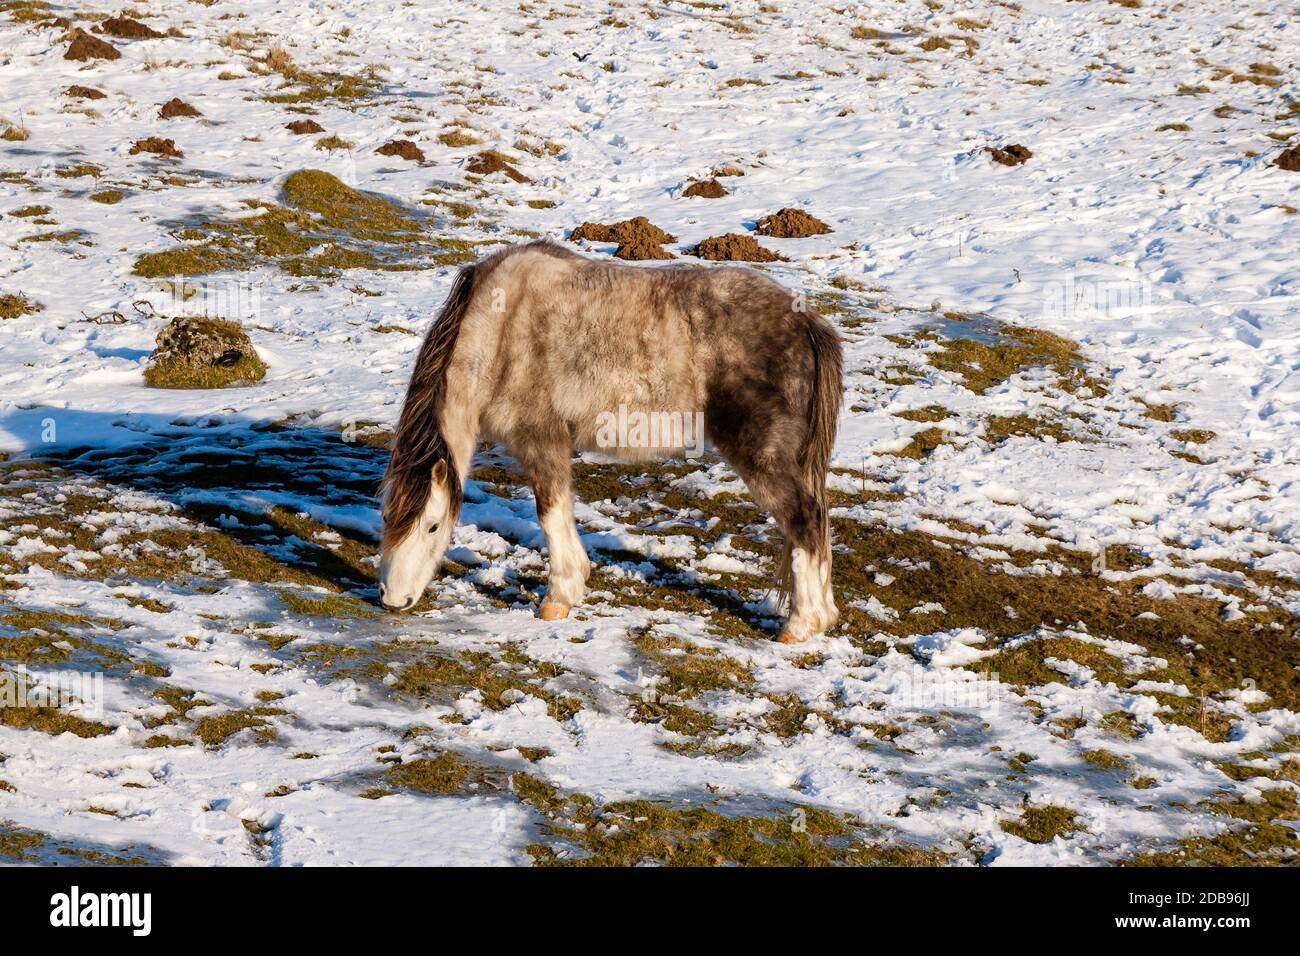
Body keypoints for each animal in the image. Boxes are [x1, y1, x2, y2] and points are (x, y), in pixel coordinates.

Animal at [377, 241, 843, 643]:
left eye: (433, 524)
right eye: (386, 517)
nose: (392, 600)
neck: (500, 329)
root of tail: (805, 320)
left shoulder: (540, 438)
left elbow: (550, 512)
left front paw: (557, 599)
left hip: (763, 457)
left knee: (805, 522)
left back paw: (800, 626)